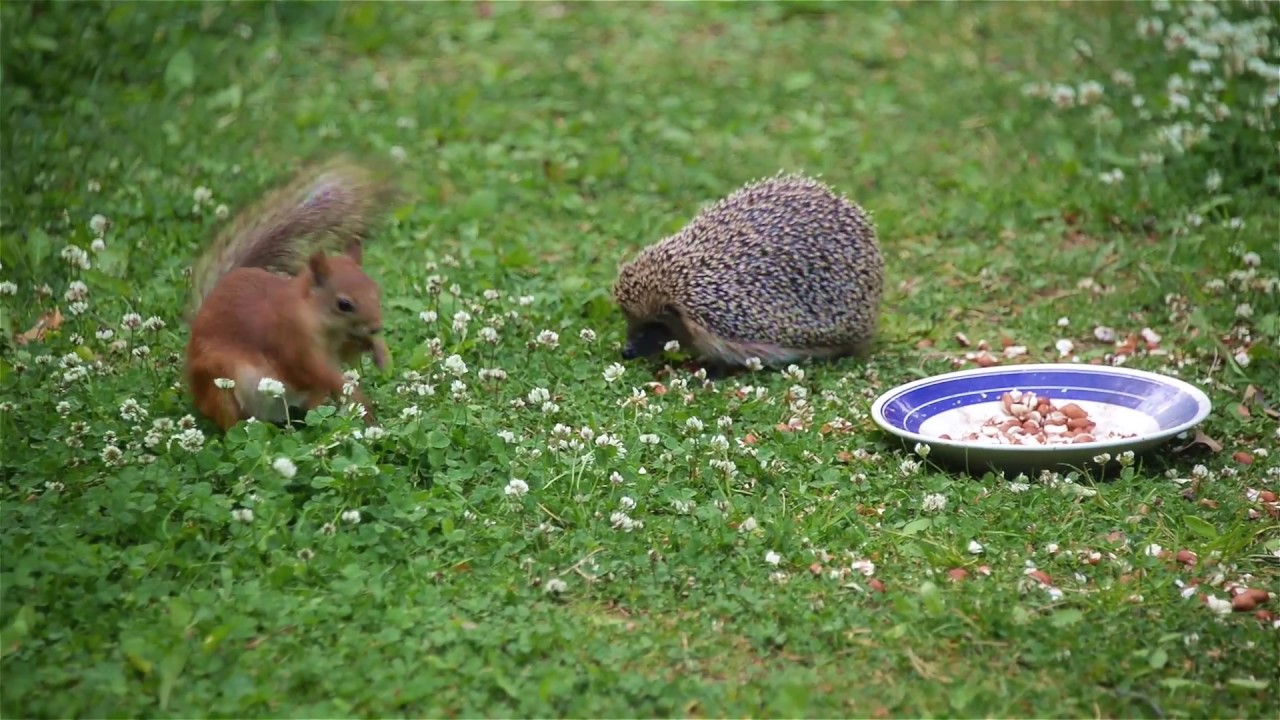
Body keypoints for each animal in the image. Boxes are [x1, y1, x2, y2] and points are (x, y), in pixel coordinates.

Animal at [184, 157, 399, 431]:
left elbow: (349, 352)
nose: (376, 327)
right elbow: (318, 371)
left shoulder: (340, 344)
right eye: (343, 304)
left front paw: (381, 352)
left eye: (376, 291)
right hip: (219, 382)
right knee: (229, 419)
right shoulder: (292, 340)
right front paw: (360, 399)